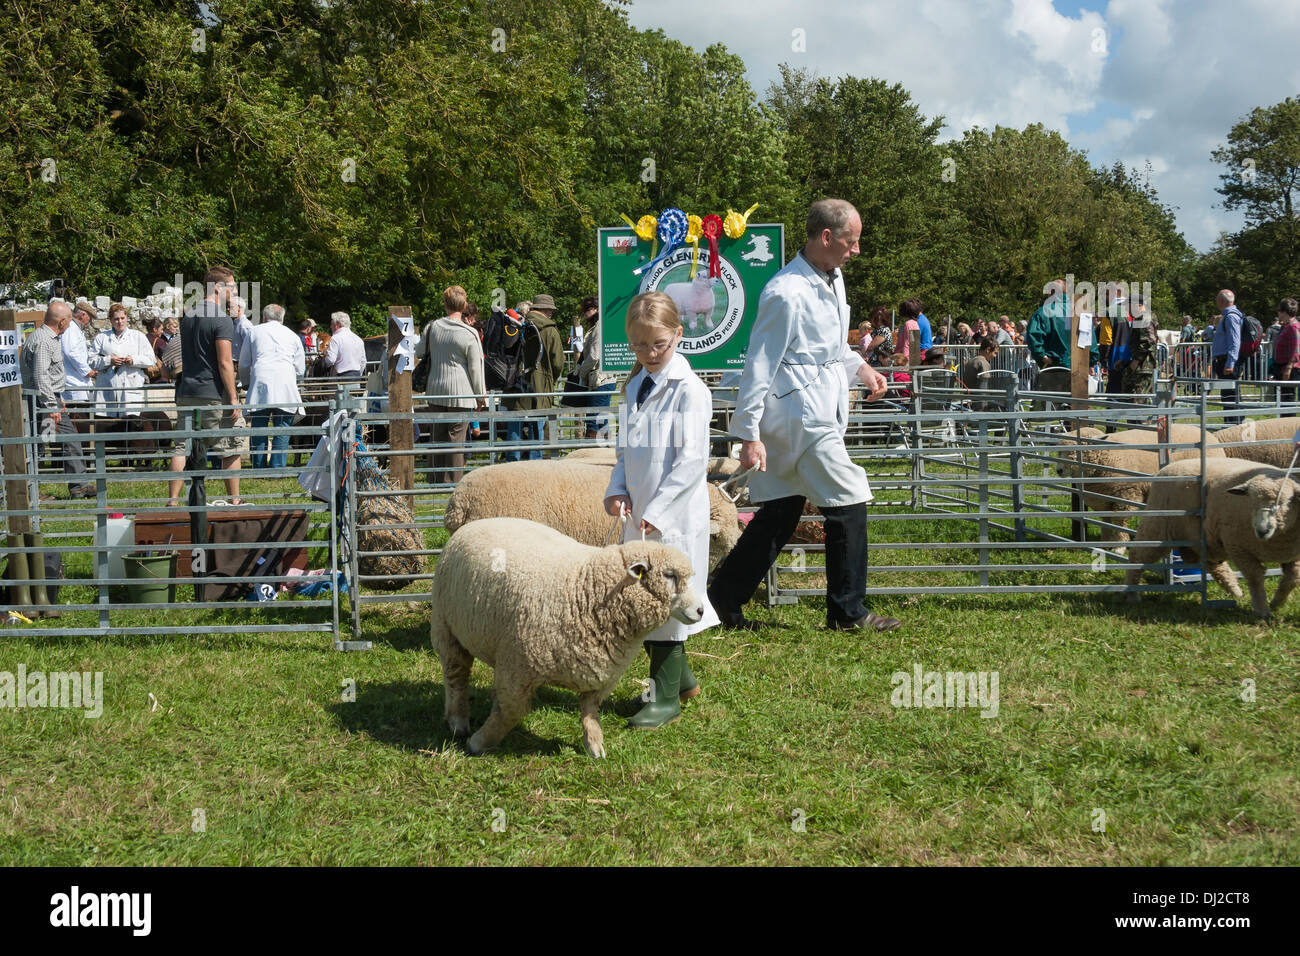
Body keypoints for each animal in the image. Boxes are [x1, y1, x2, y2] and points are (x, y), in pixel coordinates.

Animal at [430, 517, 704, 757]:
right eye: (669, 575)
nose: (701, 610)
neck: (587, 590)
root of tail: (477, 522)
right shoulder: (517, 668)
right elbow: (511, 712)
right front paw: (480, 742)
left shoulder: (601, 675)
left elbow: (590, 713)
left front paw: (594, 745)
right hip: (446, 627)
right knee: (456, 676)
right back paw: (457, 722)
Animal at [1052, 425, 1224, 547]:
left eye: (1075, 451)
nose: (1059, 470)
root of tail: (1211, 436)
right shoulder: (1104, 499)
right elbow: (1105, 522)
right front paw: (1105, 544)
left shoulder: (1126, 494)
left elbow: (1120, 522)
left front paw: (1119, 547)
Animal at [1124, 458, 1300, 619]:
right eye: (1251, 501)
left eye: (1284, 502)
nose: (1262, 530)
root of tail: (1169, 466)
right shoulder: (1238, 548)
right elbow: (1255, 578)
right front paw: (1262, 611)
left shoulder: (1293, 554)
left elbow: (1293, 578)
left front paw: (1277, 602)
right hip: (1158, 526)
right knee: (1137, 556)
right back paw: (1132, 594)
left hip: (1202, 538)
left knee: (1213, 565)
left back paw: (1235, 591)